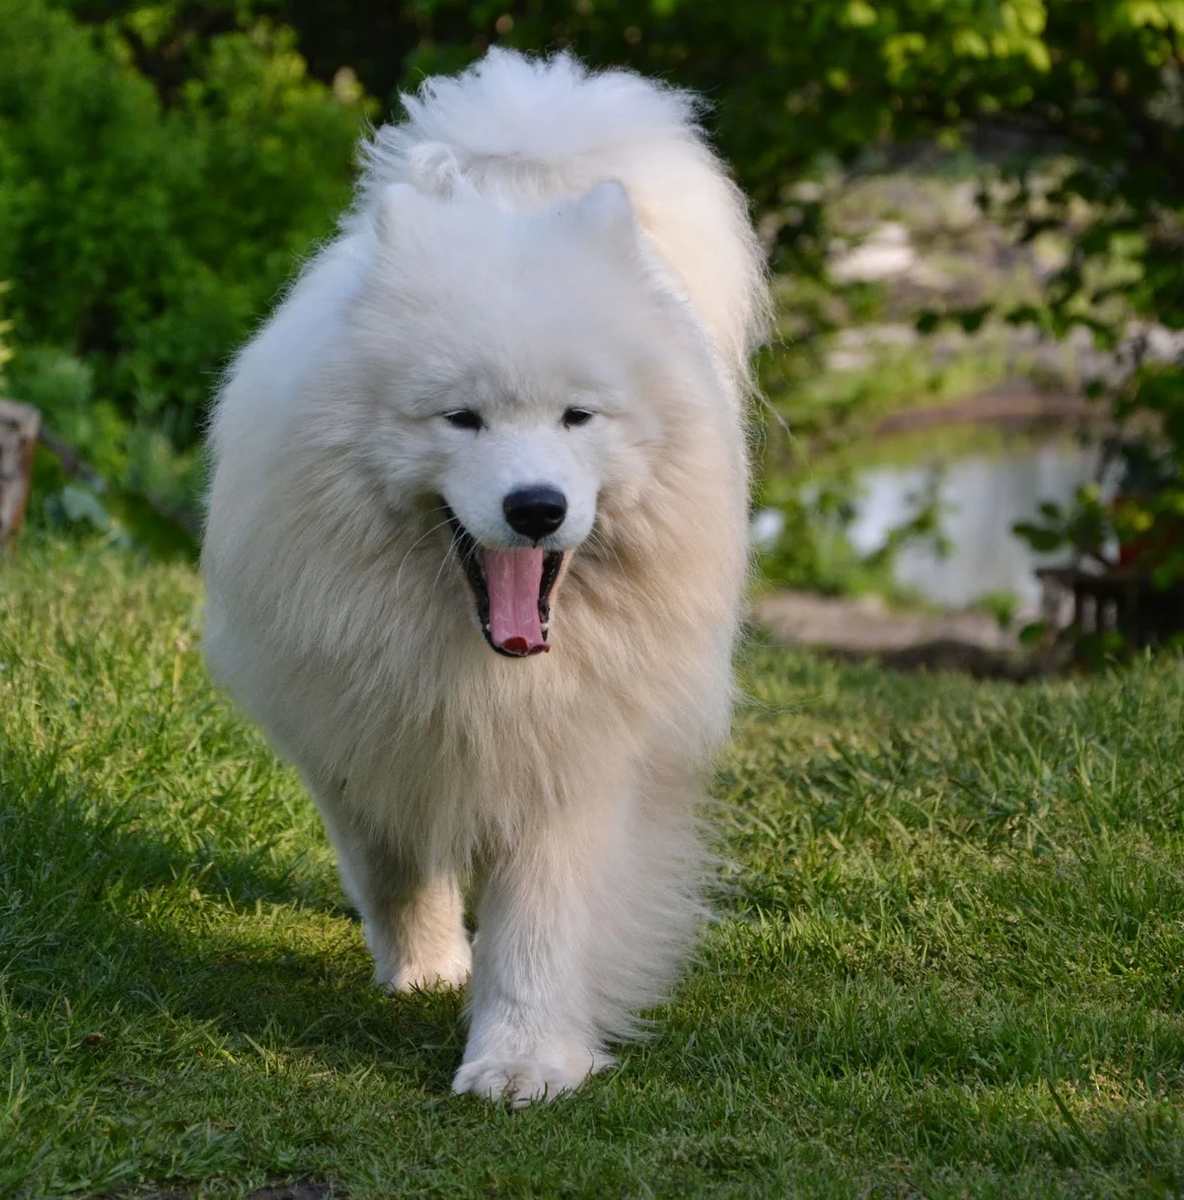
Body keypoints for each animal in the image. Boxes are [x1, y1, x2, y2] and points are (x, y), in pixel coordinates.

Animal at [203, 49, 767, 1104]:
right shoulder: (356, 734)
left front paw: (521, 1060)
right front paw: (427, 967)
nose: (536, 506)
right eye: (460, 418)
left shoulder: (573, 757)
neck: (481, 665)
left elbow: (540, 925)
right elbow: (393, 864)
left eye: (578, 417)